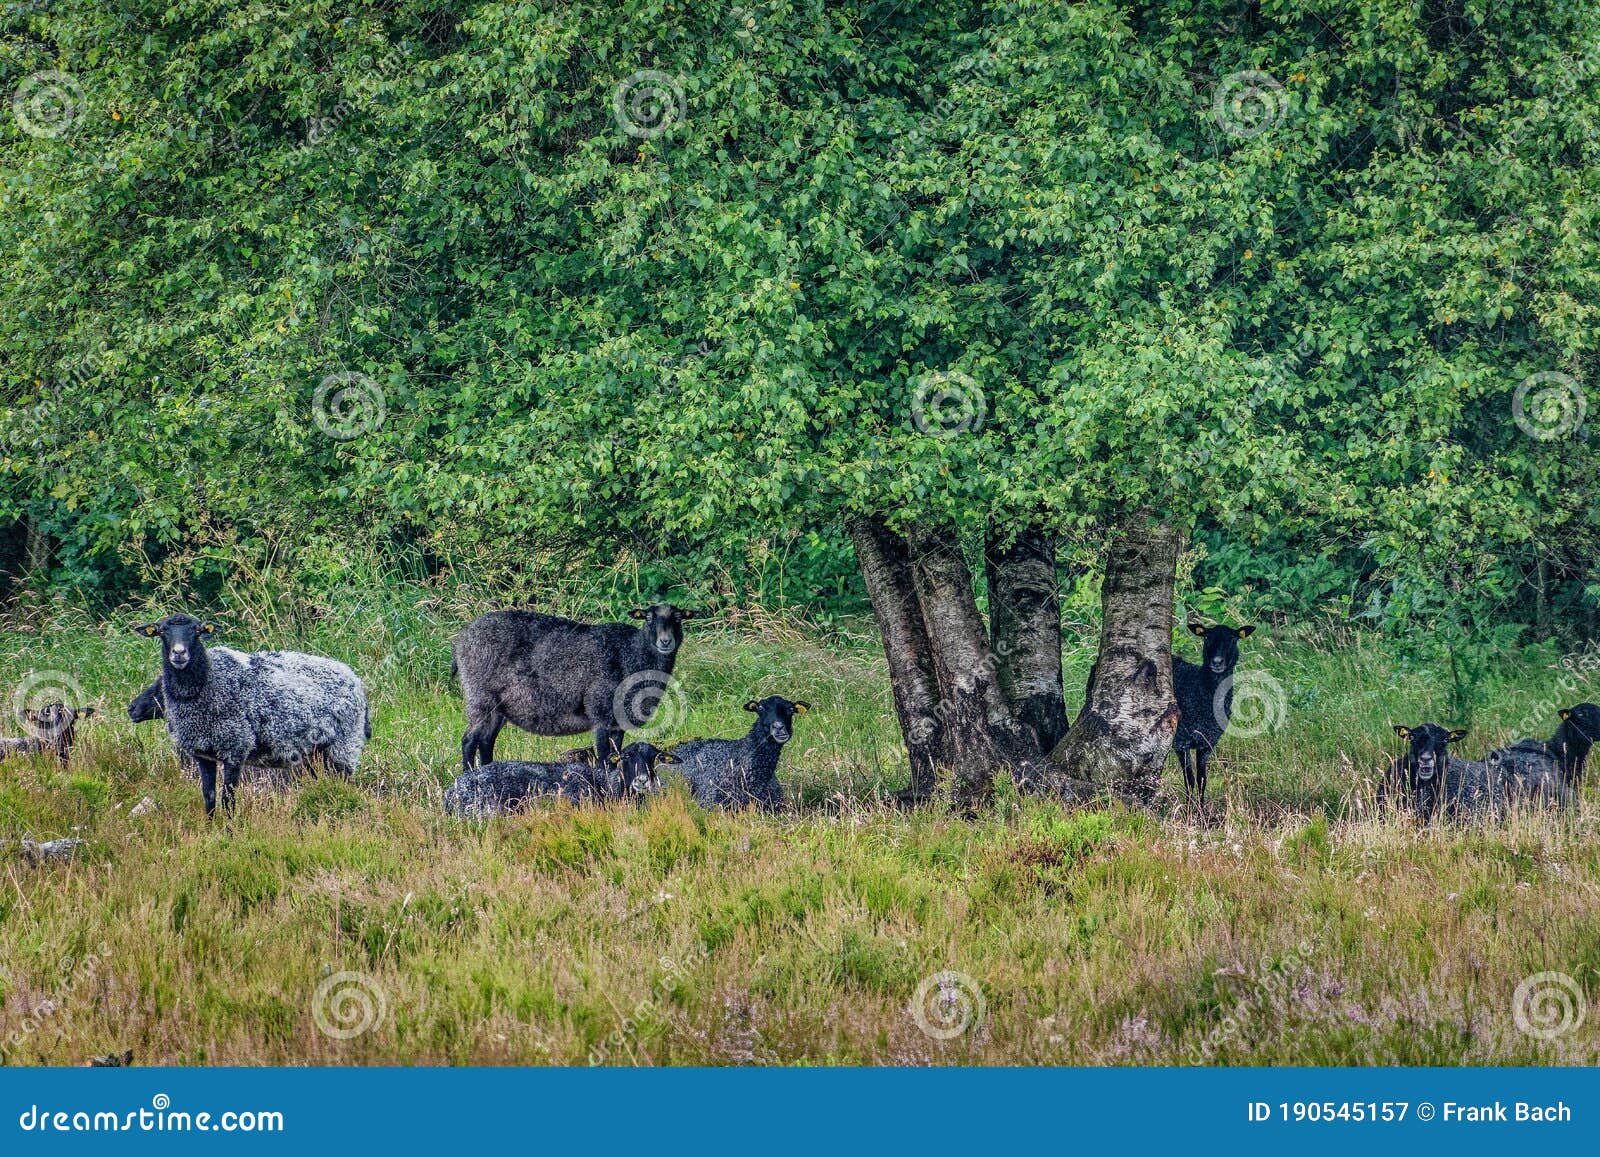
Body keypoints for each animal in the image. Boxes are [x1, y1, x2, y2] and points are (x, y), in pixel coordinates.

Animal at [132, 614, 370, 816]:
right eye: (162, 631)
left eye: (196, 631)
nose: (179, 653)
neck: (211, 682)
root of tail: (355, 679)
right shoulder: (203, 755)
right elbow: (209, 798)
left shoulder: (235, 749)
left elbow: (228, 799)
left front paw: (230, 833)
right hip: (317, 753)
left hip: (343, 747)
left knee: (344, 783)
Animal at [452, 603, 700, 771]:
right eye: (648, 617)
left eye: (678, 618)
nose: (666, 641)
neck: (632, 653)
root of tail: (461, 641)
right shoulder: (600, 713)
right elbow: (603, 756)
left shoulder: (618, 722)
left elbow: (617, 753)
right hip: (479, 697)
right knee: (469, 740)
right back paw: (469, 774)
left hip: (498, 709)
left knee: (486, 741)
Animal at [1171, 621, 1255, 806]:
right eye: (1207, 637)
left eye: (1233, 639)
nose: (1217, 662)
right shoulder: (1181, 741)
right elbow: (1189, 780)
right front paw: (1189, 810)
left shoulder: (1207, 743)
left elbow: (1202, 780)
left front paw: (1201, 810)